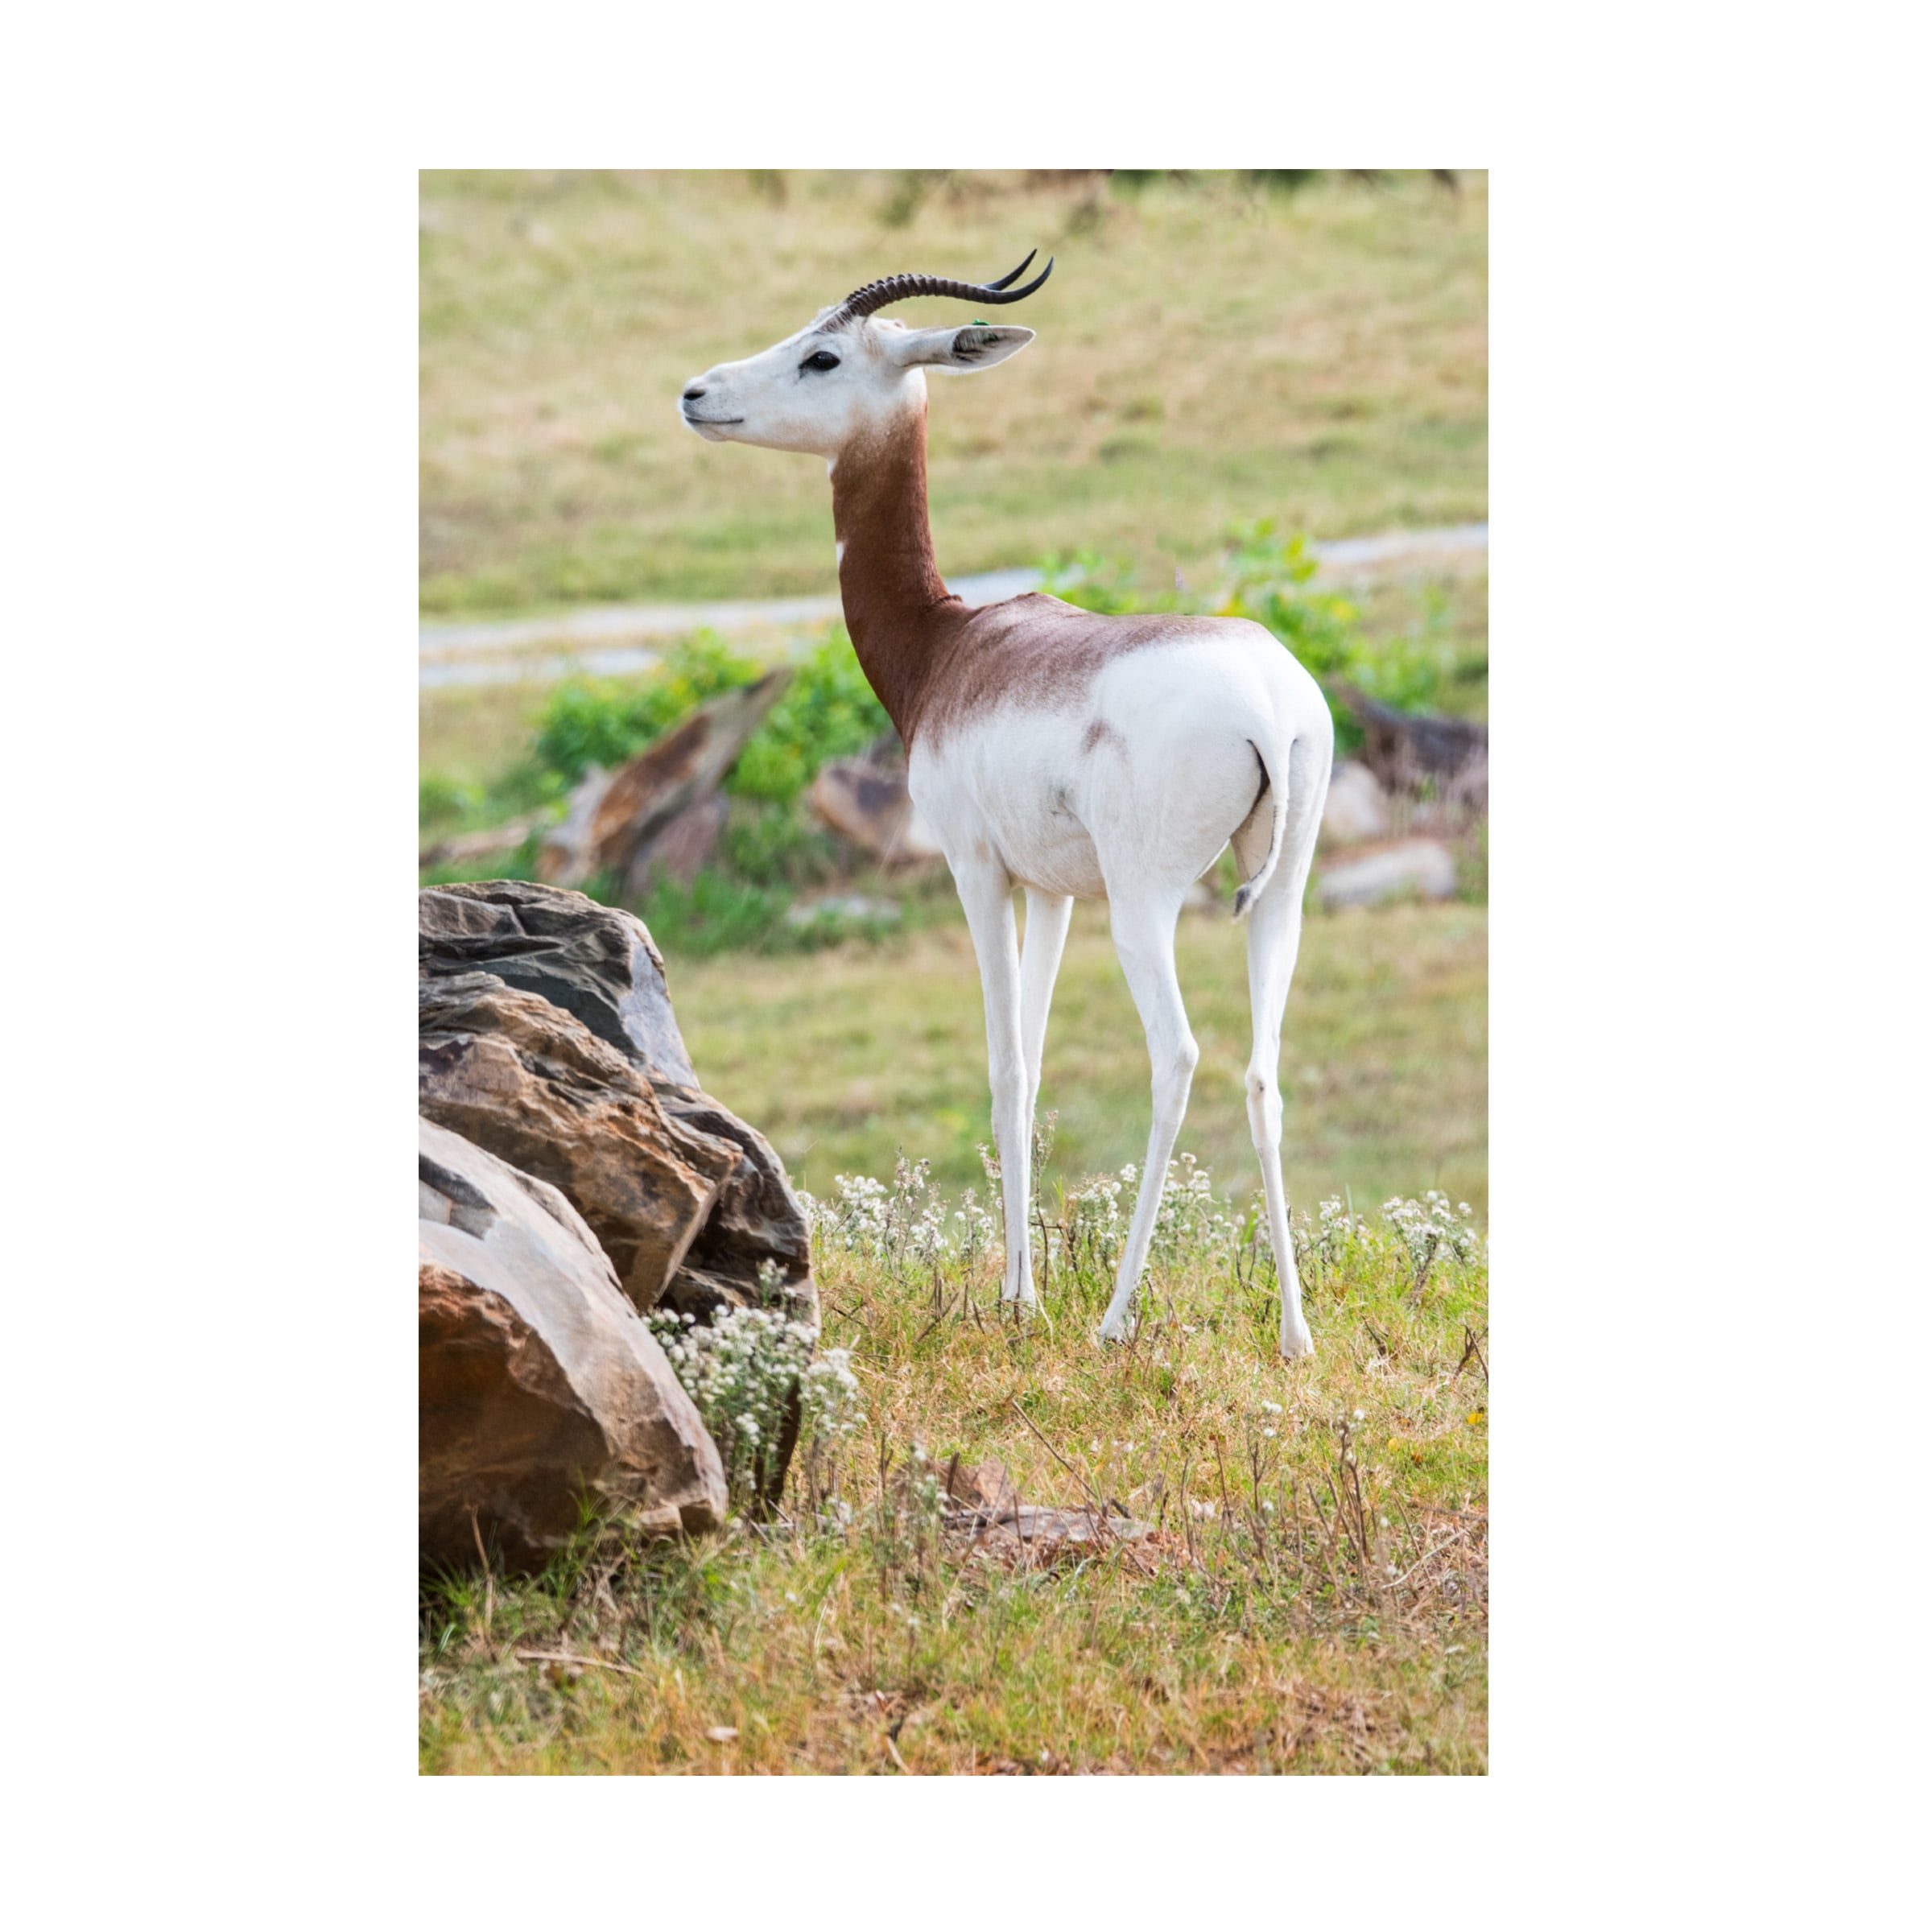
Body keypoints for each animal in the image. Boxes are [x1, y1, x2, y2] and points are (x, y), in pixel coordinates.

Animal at [680, 255, 1333, 1356]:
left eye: (823, 356)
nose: (695, 393)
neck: (950, 646)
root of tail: (1270, 703)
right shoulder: (1055, 891)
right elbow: (1034, 1060)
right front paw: (1026, 1284)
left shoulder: (977, 870)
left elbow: (1006, 1070)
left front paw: (1017, 1298)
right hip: (1278, 894)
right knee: (1263, 1073)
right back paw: (1293, 1334)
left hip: (1147, 907)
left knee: (1178, 1058)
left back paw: (1114, 1321)